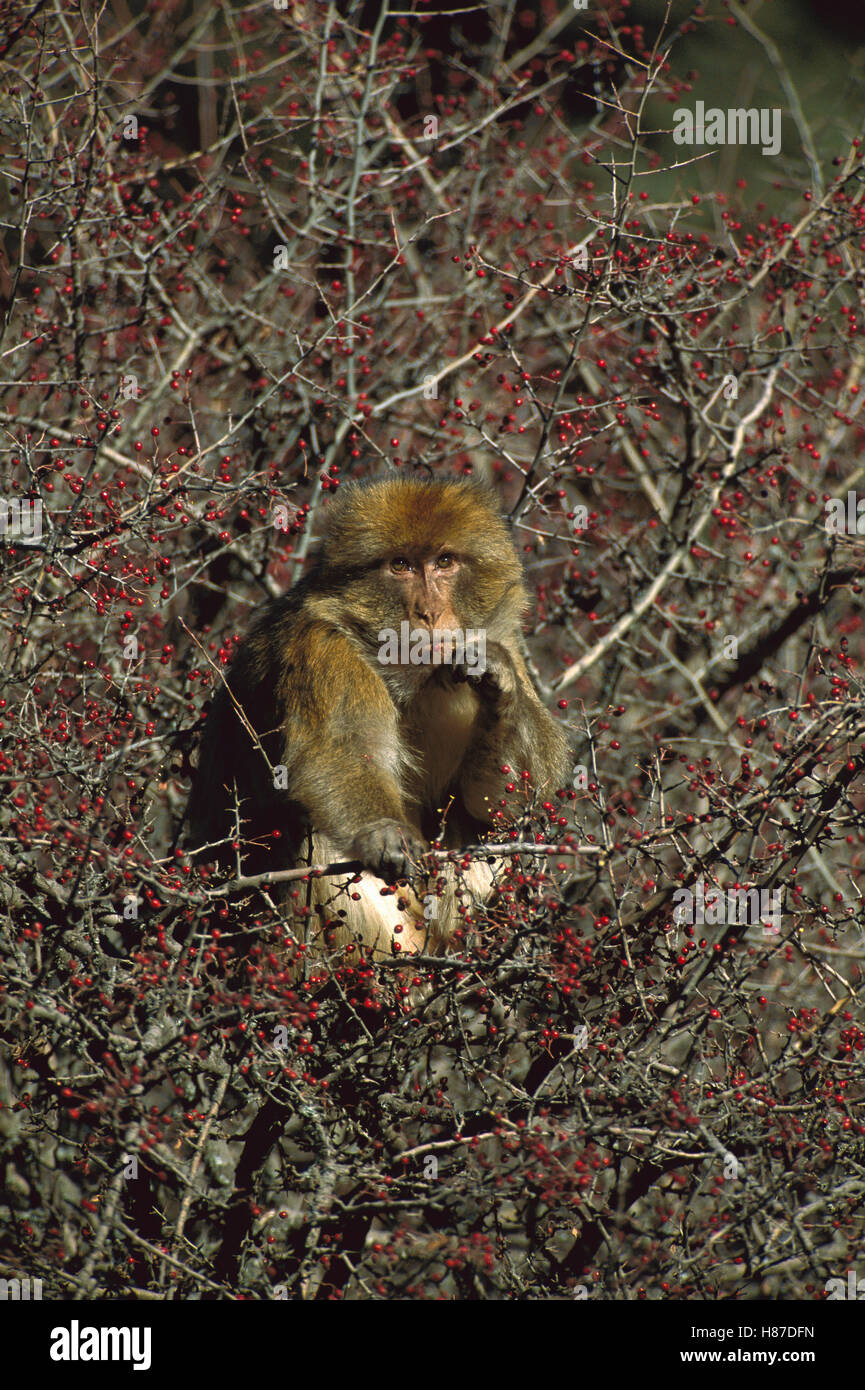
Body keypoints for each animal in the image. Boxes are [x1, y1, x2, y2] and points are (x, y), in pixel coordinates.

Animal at [186, 472, 570, 967]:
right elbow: (335, 755)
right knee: (315, 831)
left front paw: (498, 684)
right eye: (400, 565)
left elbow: (496, 803)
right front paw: (384, 834)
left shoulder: (504, 640)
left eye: (444, 562)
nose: (429, 612)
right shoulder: (323, 651)